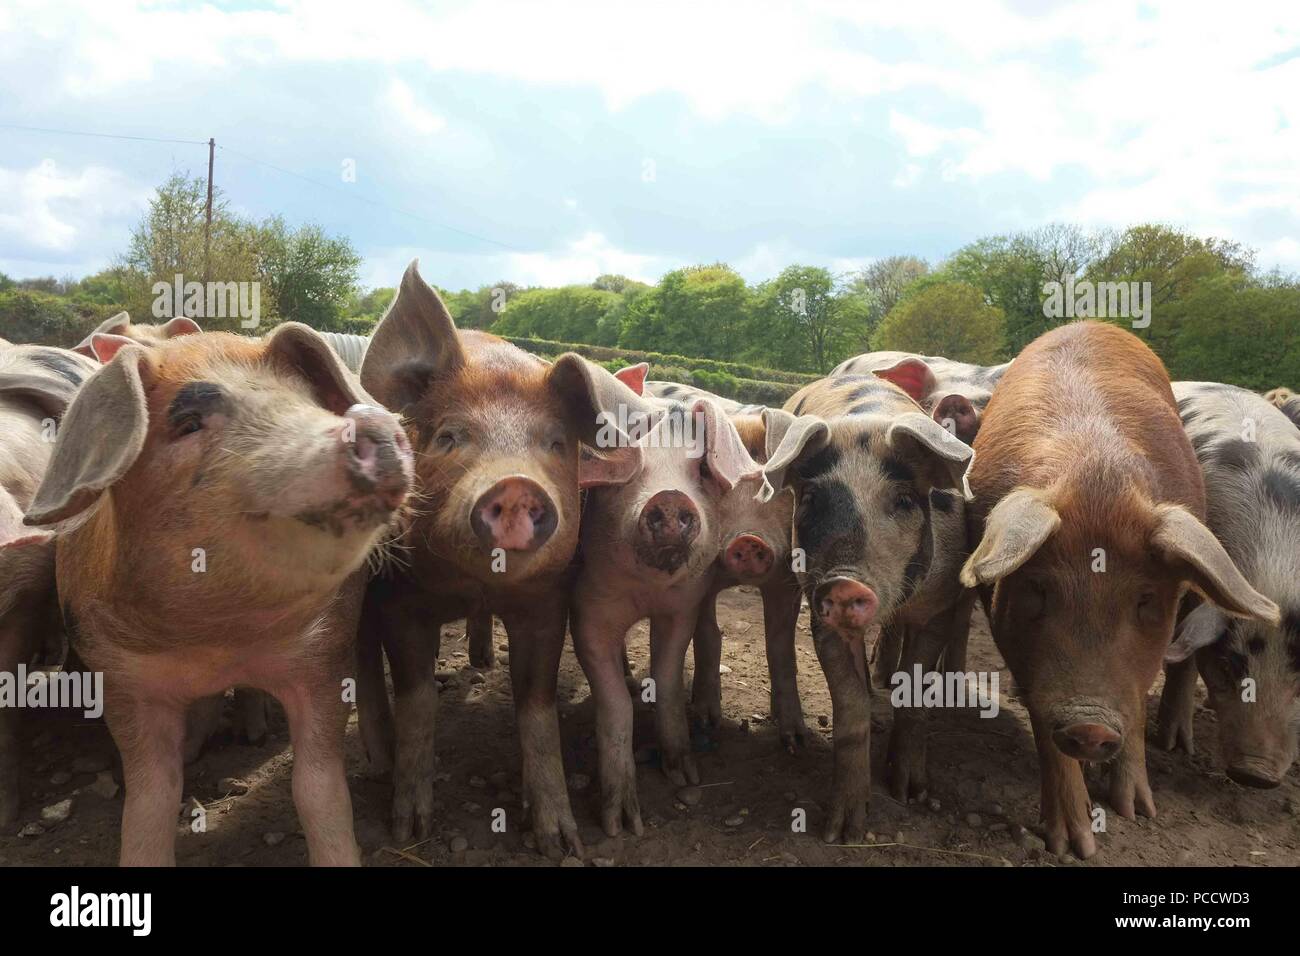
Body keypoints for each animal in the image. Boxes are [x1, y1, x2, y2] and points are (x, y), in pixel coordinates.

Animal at [24, 324, 412, 865]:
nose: (369, 421)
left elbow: (319, 790)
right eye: (188, 423)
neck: (219, 637)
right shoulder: (118, 677)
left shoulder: (322, 655)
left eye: (309, 402)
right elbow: (150, 800)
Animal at [354, 261, 653, 858]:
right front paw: (408, 830)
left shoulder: (547, 602)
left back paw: (484, 661)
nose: (515, 485)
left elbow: (536, 707)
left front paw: (561, 843)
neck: (478, 587)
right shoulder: (399, 597)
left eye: (556, 444)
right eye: (449, 436)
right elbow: (417, 700)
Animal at [571, 396, 763, 836]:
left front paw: (684, 775)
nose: (671, 497)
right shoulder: (588, 612)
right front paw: (622, 826)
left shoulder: (682, 608)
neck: (648, 593)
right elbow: (616, 704)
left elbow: (668, 679)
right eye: (629, 469)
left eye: (703, 469)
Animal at [613, 365, 808, 751]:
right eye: (718, 483)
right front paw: (706, 721)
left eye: (777, 489)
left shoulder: (786, 579)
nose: (748, 539)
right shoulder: (702, 579)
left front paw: (795, 741)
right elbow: (708, 635)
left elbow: (780, 646)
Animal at [959, 321, 1278, 859]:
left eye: (1145, 600)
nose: (1089, 725)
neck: (1096, 479)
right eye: (1038, 589)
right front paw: (1075, 846)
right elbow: (1043, 722)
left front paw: (1137, 812)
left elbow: (1135, 699)